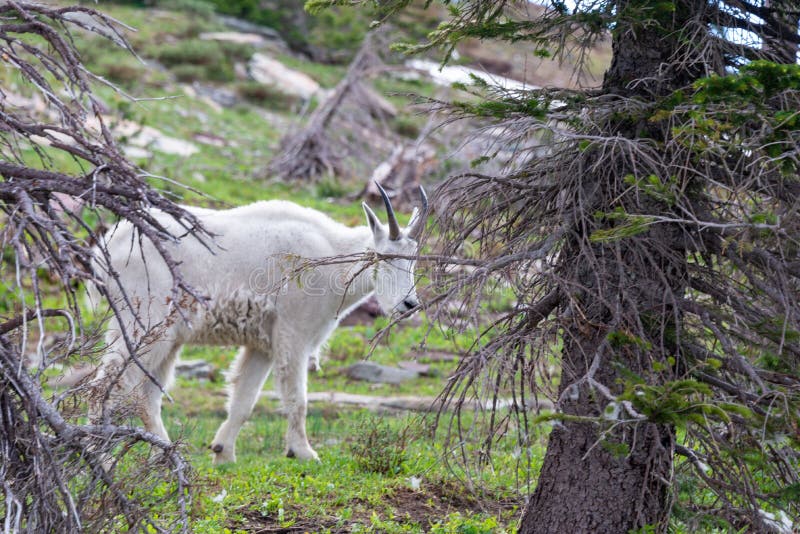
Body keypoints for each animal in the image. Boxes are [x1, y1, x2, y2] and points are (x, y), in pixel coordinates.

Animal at [90, 185, 427, 463]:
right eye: (383, 257)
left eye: (413, 259)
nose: (410, 305)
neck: (334, 258)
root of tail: (104, 249)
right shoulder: (293, 333)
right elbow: (297, 398)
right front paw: (303, 452)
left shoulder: (262, 343)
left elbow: (244, 400)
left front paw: (223, 453)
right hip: (143, 323)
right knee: (109, 385)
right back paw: (98, 455)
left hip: (167, 337)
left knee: (146, 393)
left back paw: (164, 453)